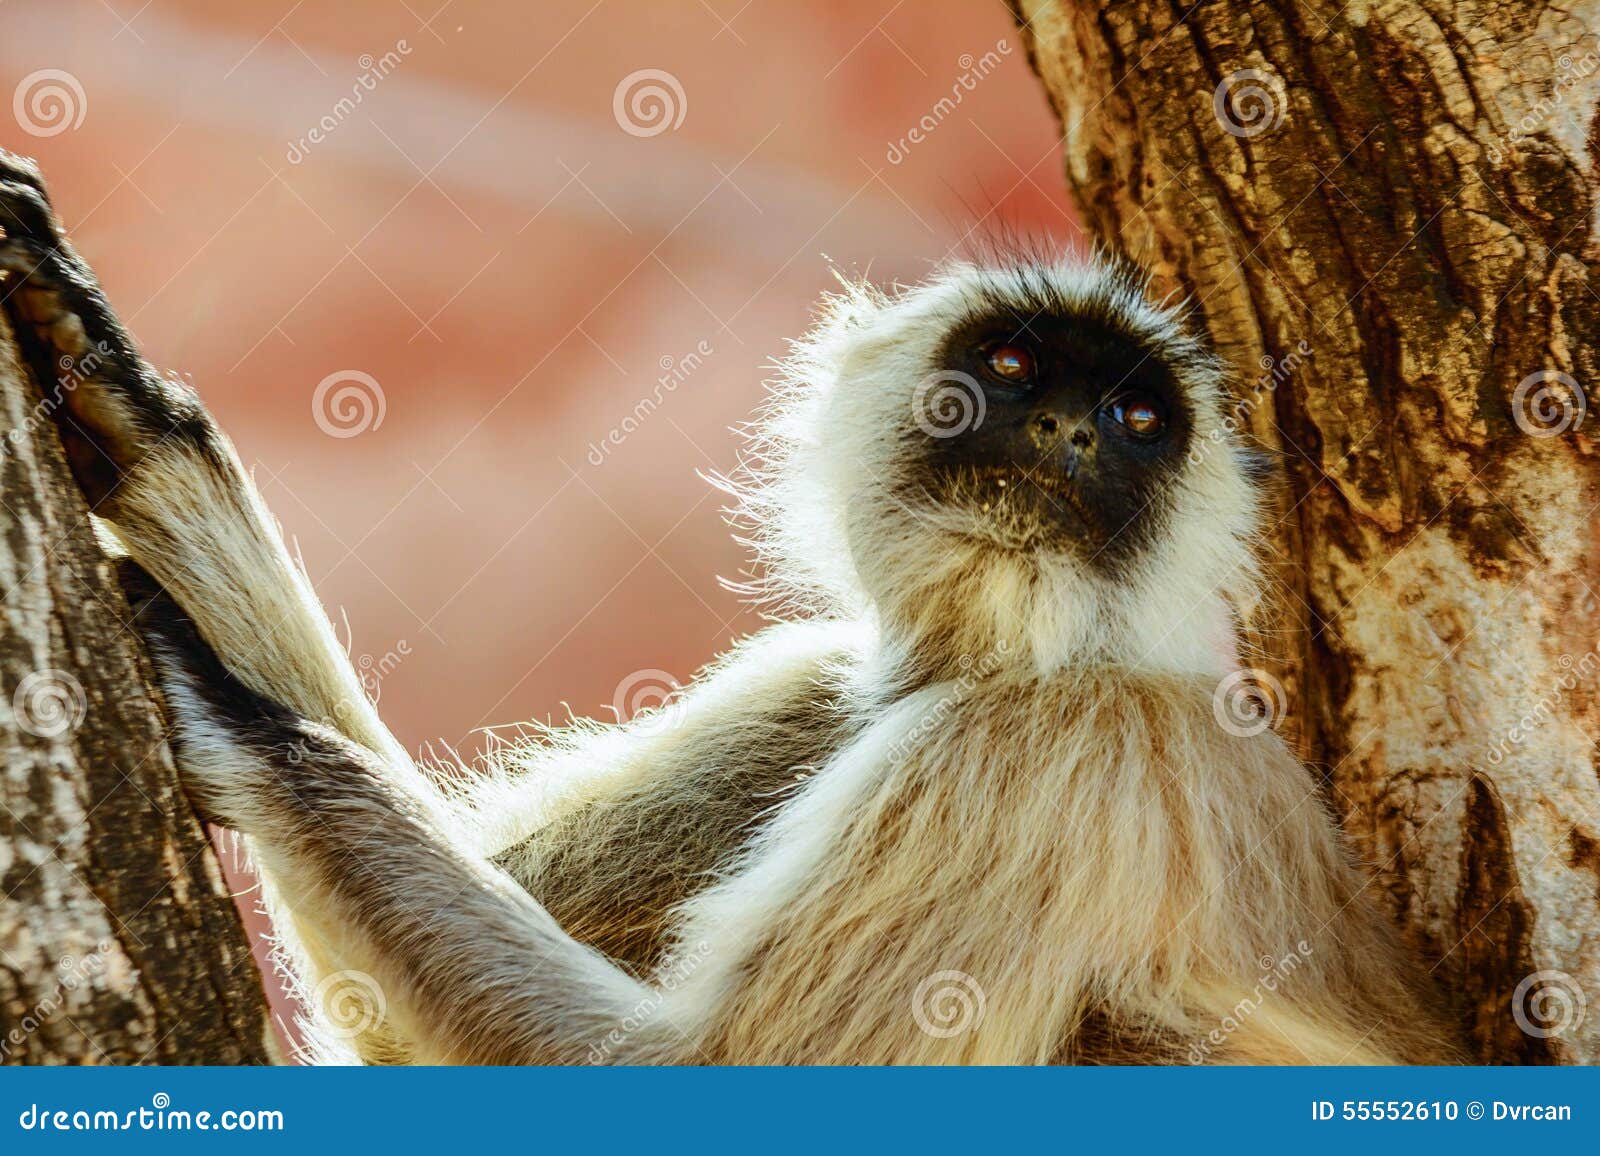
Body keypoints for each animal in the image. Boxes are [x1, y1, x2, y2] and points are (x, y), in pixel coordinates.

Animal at [0, 152, 1460, 1065]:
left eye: (1138, 418)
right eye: (1010, 365)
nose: (1064, 434)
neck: (1020, 661)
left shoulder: (1041, 757)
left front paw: (237, 719)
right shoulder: (812, 685)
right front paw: (130, 408)